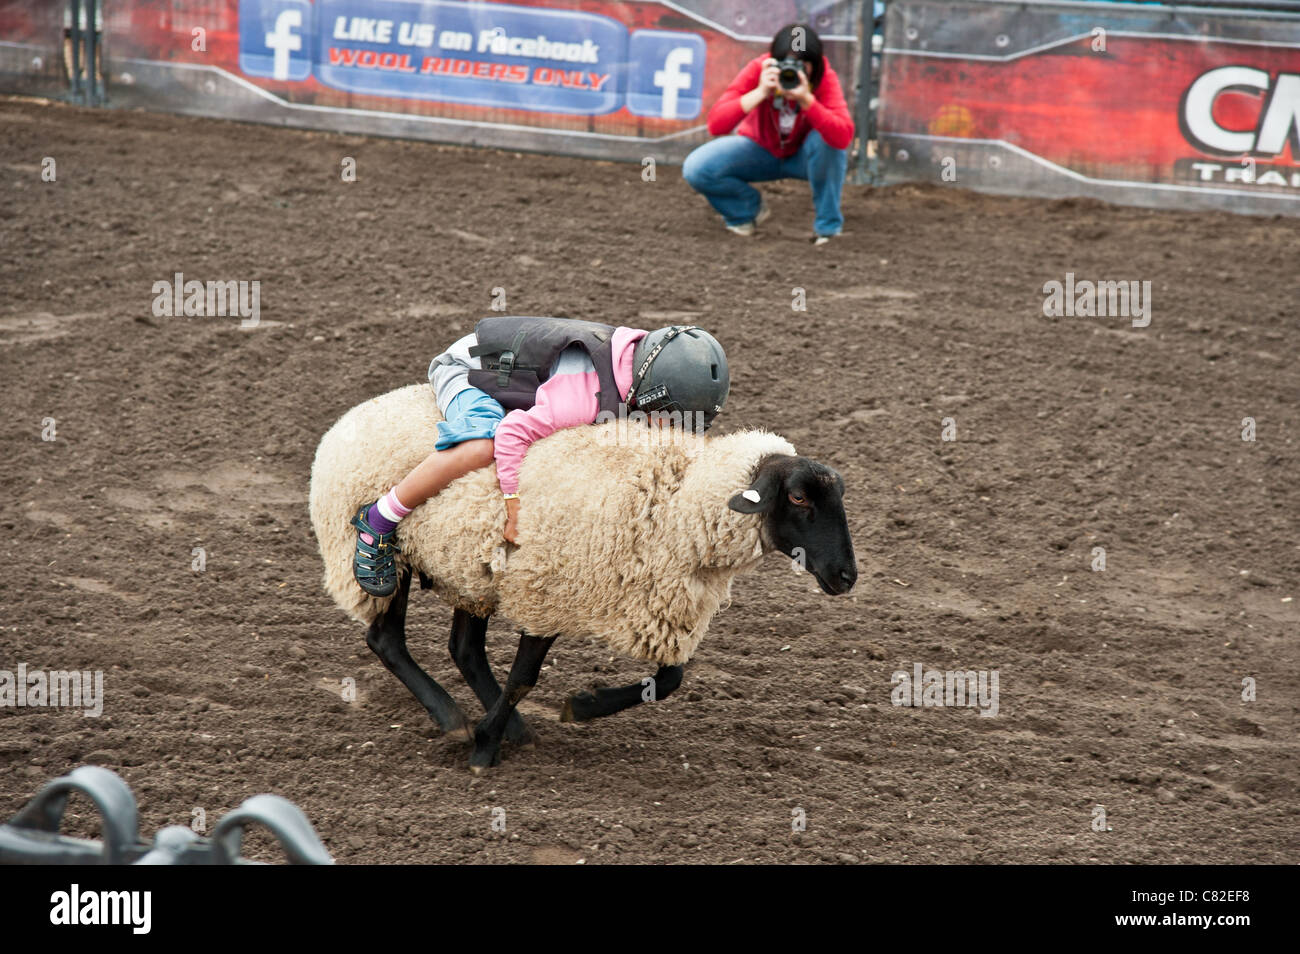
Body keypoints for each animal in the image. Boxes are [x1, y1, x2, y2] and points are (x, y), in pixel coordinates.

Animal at [309, 383, 858, 771]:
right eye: (799, 497)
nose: (847, 576)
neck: (679, 503)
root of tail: (349, 420)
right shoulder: (546, 589)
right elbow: (524, 679)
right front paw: (484, 750)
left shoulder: (659, 603)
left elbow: (671, 678)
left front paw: (582, 703)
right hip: (386, 559)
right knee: (386, 639)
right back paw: (454, 720)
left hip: (472, 570)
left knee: (463, 648)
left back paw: (505, 726)